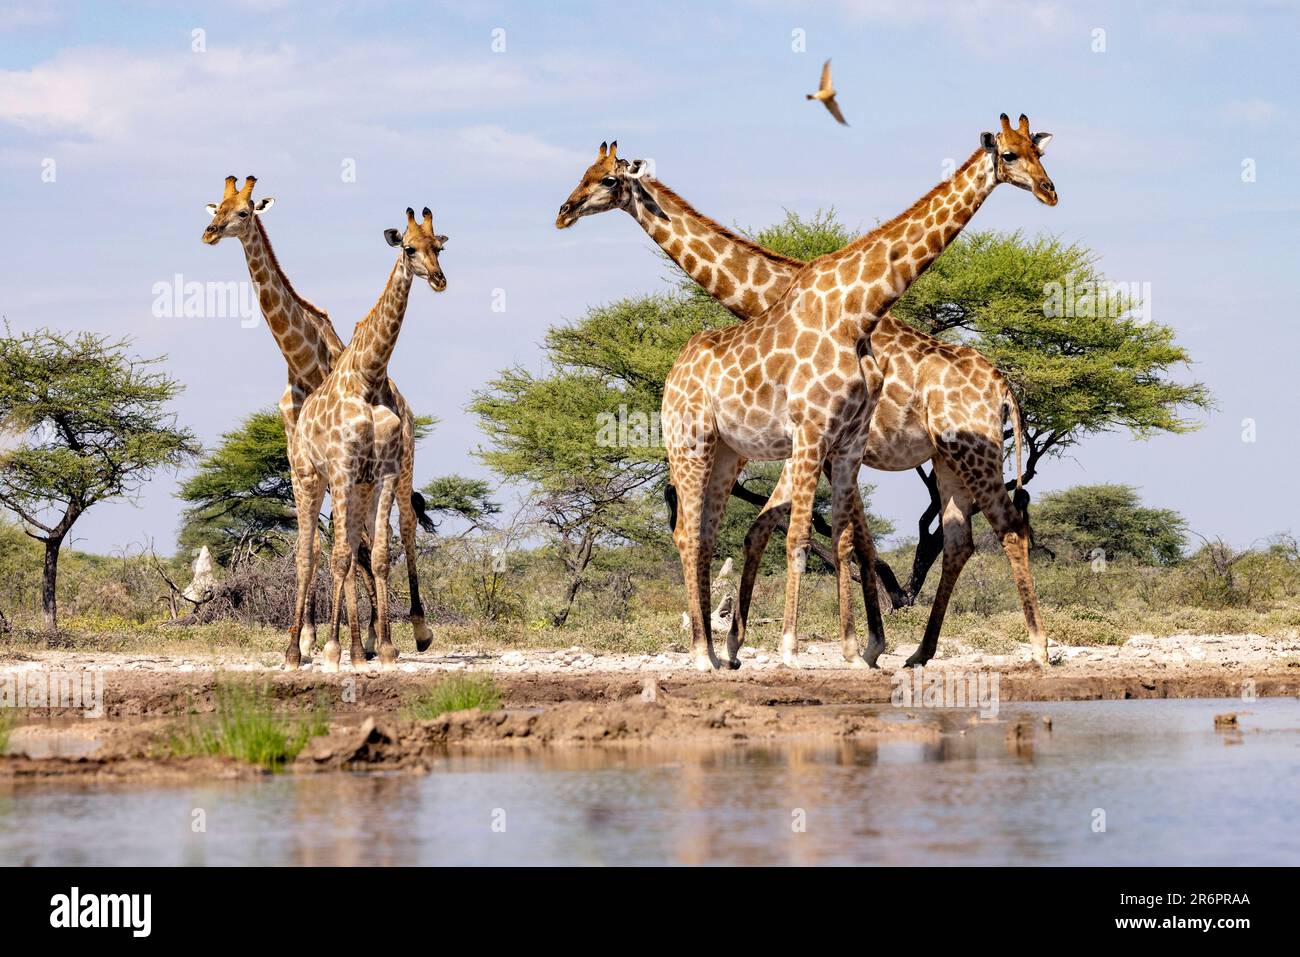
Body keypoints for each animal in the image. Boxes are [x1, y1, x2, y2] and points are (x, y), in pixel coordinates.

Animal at [202, 176, 434, 662]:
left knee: (402, 528)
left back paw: (416, 630)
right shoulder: (300, 451)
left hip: (403, 464)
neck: (302, 360)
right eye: (220, 208)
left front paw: (338, 640)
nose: (210, 232)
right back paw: (364, 636)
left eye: (243, 212)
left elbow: (345, 544)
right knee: (360, 539)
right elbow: (317, 543)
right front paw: (314, 639)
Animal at [287, 207, 447, 672]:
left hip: (361, 483)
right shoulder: (342, 468)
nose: (438, 279)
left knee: (364, 545)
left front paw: (385, 648)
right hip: (309, 478)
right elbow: (339, 556)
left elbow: (377, 555)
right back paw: (295, 651)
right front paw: (336, 649)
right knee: (308, 555)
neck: (370, 376)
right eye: (409, 248)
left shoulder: (386, 469)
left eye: (439, 246)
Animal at [563, 115, 1056, 671]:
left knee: (1004, 527)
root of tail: (1002, 384)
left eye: (606, 179)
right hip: (947, 459)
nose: (565, 211)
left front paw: (845, 646)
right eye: (587, 175)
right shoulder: (826, 443)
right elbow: (832, 537)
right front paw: (850, 645)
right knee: (959, 540)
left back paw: (1032, 646)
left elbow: (825, 536)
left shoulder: (834, 441)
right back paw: (920, 652)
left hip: (969, 452)